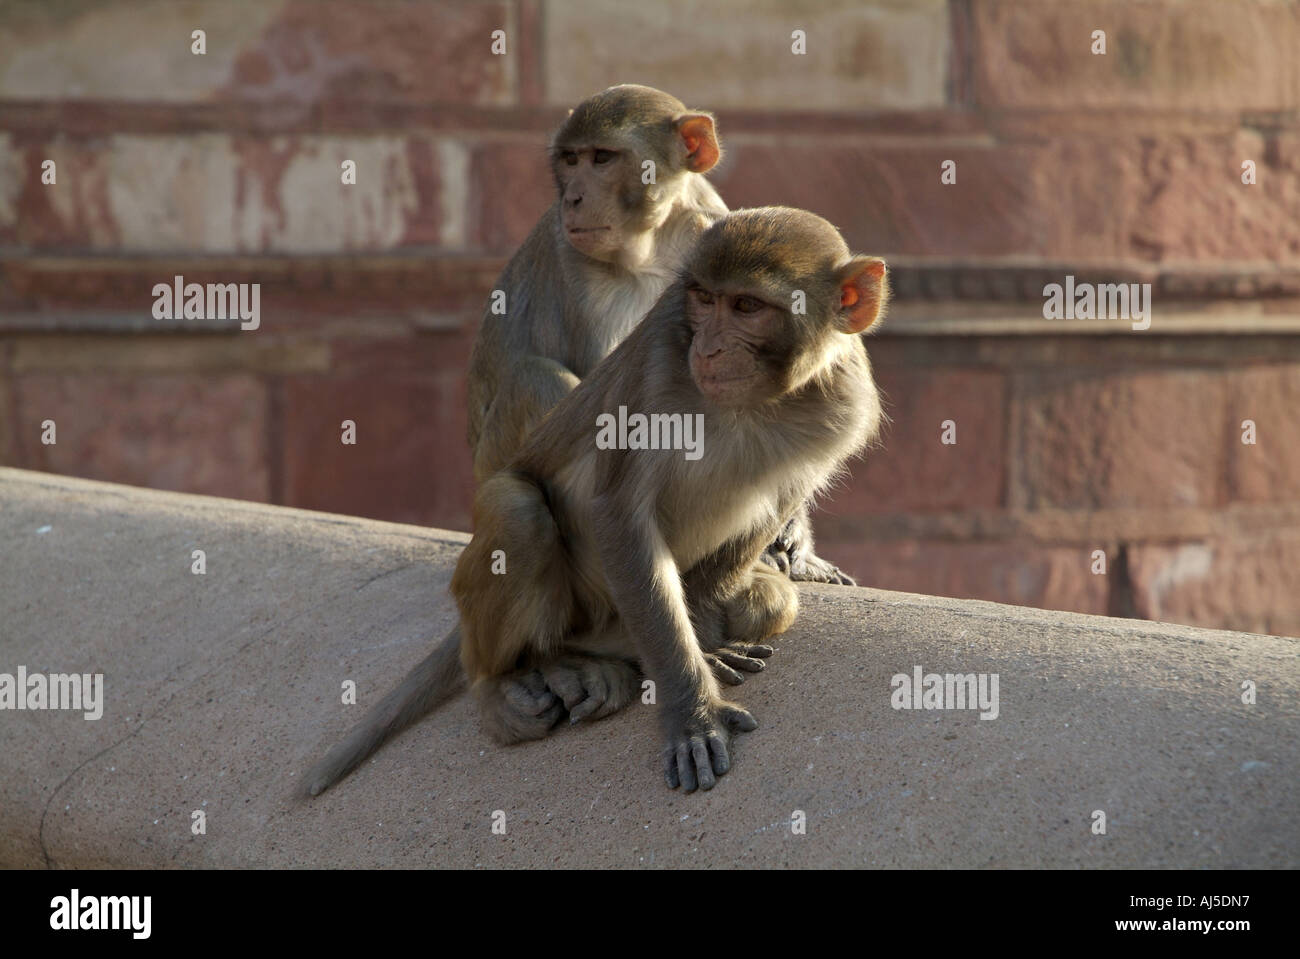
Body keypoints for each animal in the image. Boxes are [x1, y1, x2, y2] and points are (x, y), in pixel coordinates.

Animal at [303, 207, 887, 796]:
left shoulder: (846, 401)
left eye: (747, 306)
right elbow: (619, 512)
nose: (708, 349)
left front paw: (704, 636)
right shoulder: (659, 367)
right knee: (518, 509)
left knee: (771, 601)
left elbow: (783, 496)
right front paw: (690, 709)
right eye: (703, 298)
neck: (759, 402)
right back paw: (506, 683)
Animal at [465, 84, 854, 586]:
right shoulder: (581, 270)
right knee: (539, 377)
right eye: (570, 159)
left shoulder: (709, 228)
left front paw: (794, 538)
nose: (573, 198)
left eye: (602, 158)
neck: (654, 239)